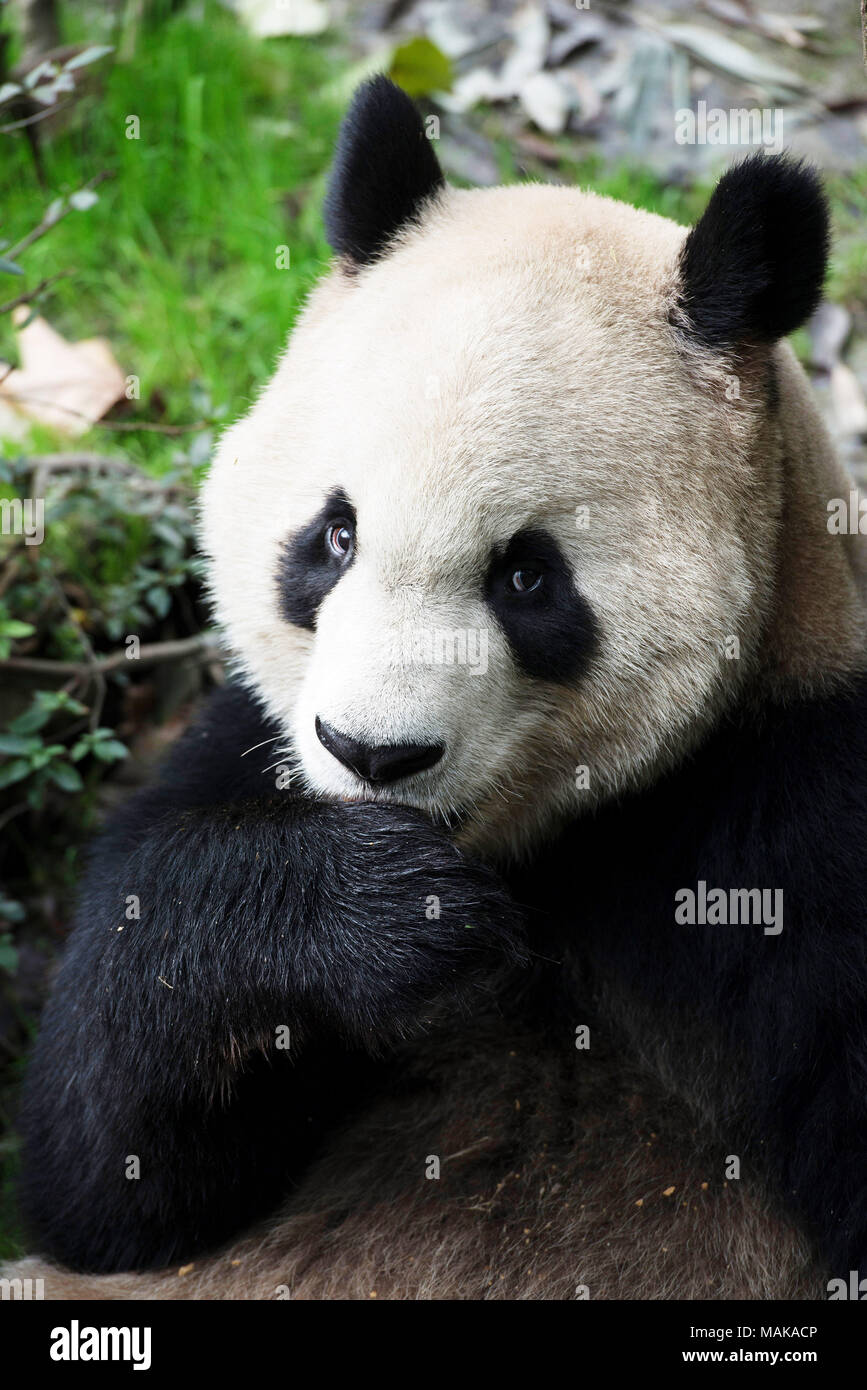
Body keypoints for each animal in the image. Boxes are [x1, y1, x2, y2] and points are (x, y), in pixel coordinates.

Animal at [8, 76, 867, 1301]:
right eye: (333, 535)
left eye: (526, 576)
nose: (375, 754)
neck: (544, 854)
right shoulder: (252, 743)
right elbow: (103, 1173)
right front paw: (378, 912)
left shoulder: (802, 812)